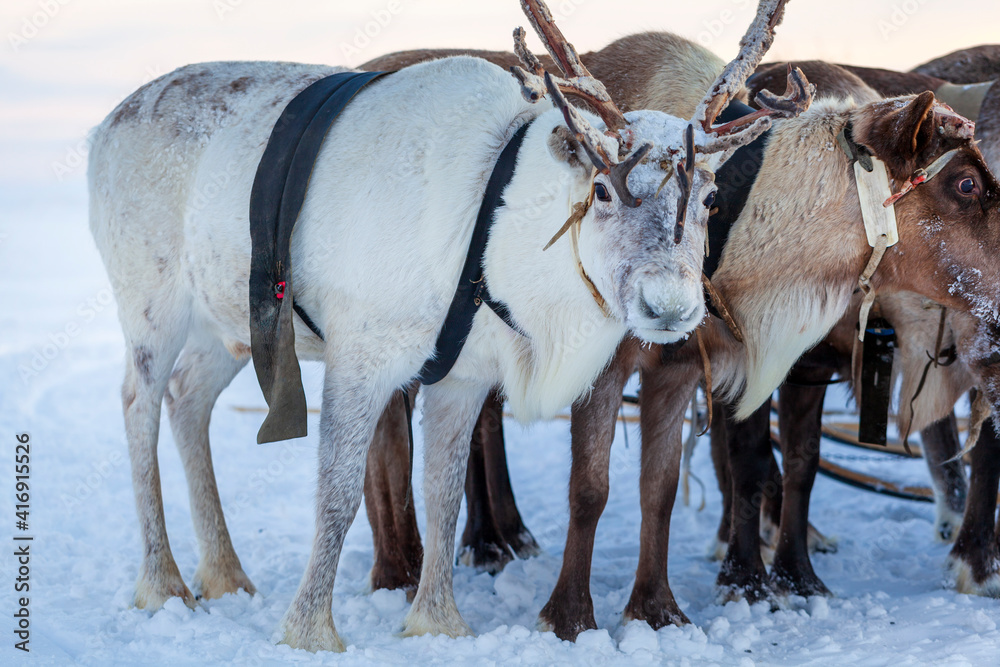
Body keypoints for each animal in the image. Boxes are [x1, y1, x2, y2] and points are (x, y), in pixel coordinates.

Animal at [87, 0, 805, 651]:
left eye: (710, 197)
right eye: (602, 189)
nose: (670, 306)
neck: (493, 240)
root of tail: (101, 130)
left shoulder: (461, 376)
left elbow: (444, 493)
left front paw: (437, 622)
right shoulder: (361, 356)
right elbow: (338, 497)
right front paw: (310, 631)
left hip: (225, 327)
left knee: (188, 400)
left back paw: (225, 573)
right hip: (152, 305)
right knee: (136, 405)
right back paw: (165, 581)